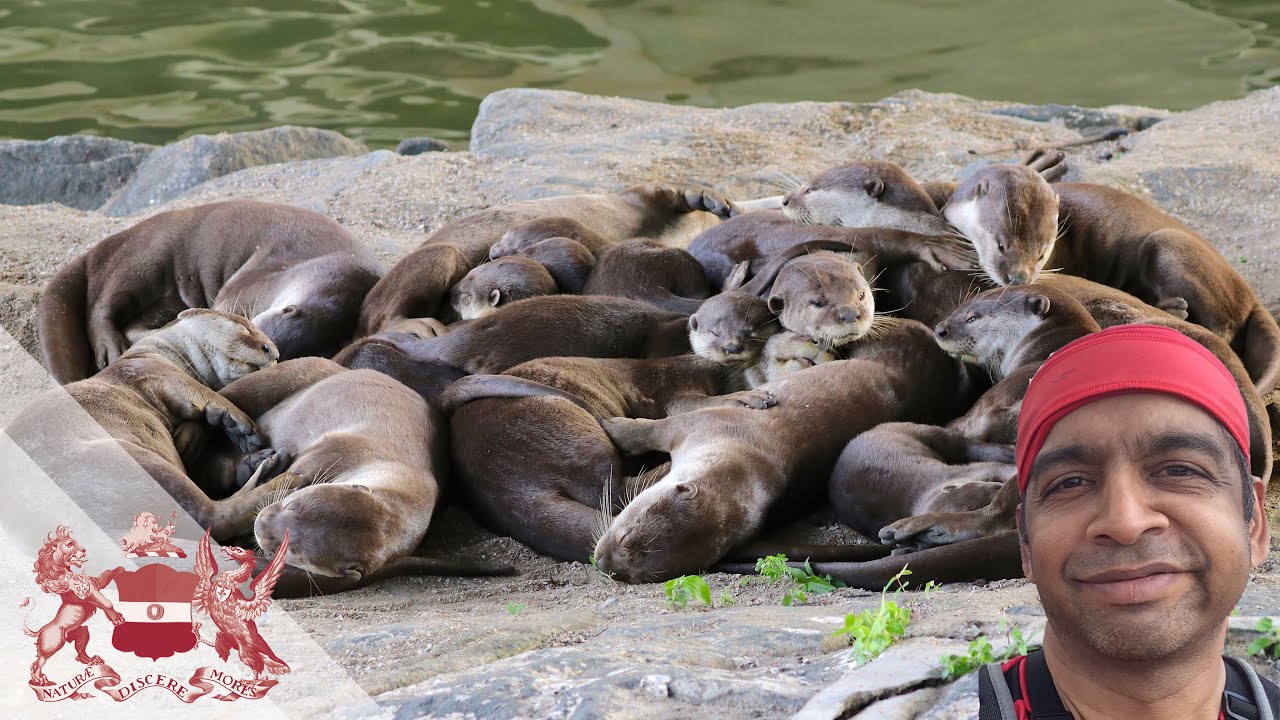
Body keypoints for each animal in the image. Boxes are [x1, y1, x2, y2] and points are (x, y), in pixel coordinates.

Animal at [6, 310, 292, 541]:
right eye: (243, 327)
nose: (274, 352)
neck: (157, 351)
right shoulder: (149, 368)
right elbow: (201, 392)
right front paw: (241, 424)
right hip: (124, 460)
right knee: (212, 515)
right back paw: (282, 478)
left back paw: (261, 465)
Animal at [37, 200, 382, 384]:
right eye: (254, 329)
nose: (264, 353)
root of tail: (101, 247)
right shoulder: (253, 282)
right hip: (143, 257)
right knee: (102, 305)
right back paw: (111, 347)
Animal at [360, 184, 731, 334]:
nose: (494, 252)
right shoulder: (635, 201)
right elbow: (663, 191)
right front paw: (708, 197)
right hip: (436, 256)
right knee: (381, 319)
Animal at [592, 319, 975, 582]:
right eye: (624, 535)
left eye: (635, 573)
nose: (604, 564)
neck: (746, 456)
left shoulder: (704, 424)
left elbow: (643, 430)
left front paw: (608, 423)